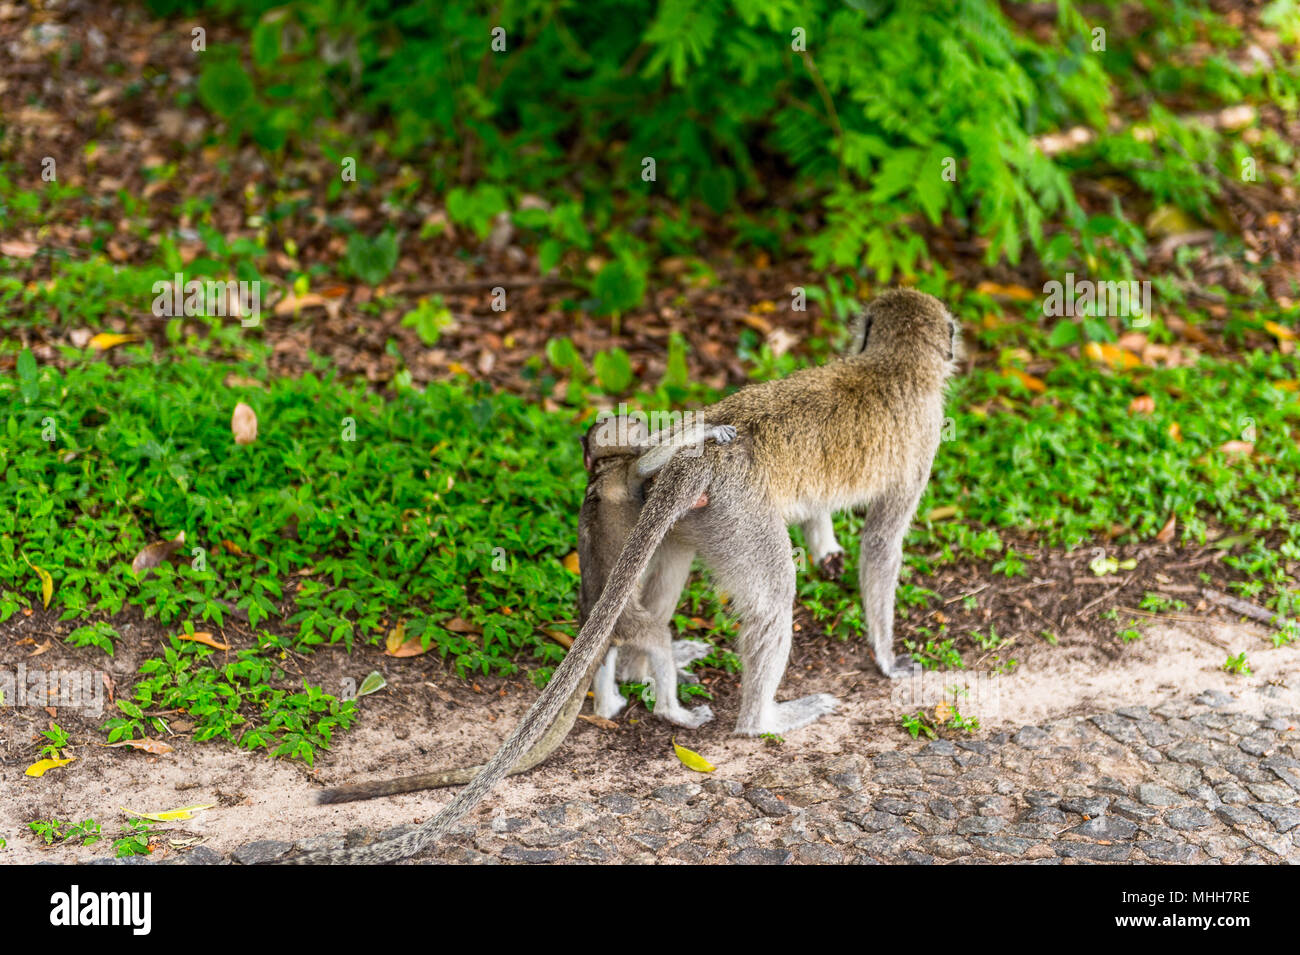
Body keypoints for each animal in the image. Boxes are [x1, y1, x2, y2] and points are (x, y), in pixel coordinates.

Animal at [282, 288, 958, 863]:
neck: (895, 365)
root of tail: (696, 461)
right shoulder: (924, 440)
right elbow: (882, 544)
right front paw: (887, 658)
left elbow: (820, 506)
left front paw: (826, 544)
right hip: (741, 514)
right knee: (772, 602)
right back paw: (760, 719)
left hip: (695, 517)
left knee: (667, 572)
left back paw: (646, 665)